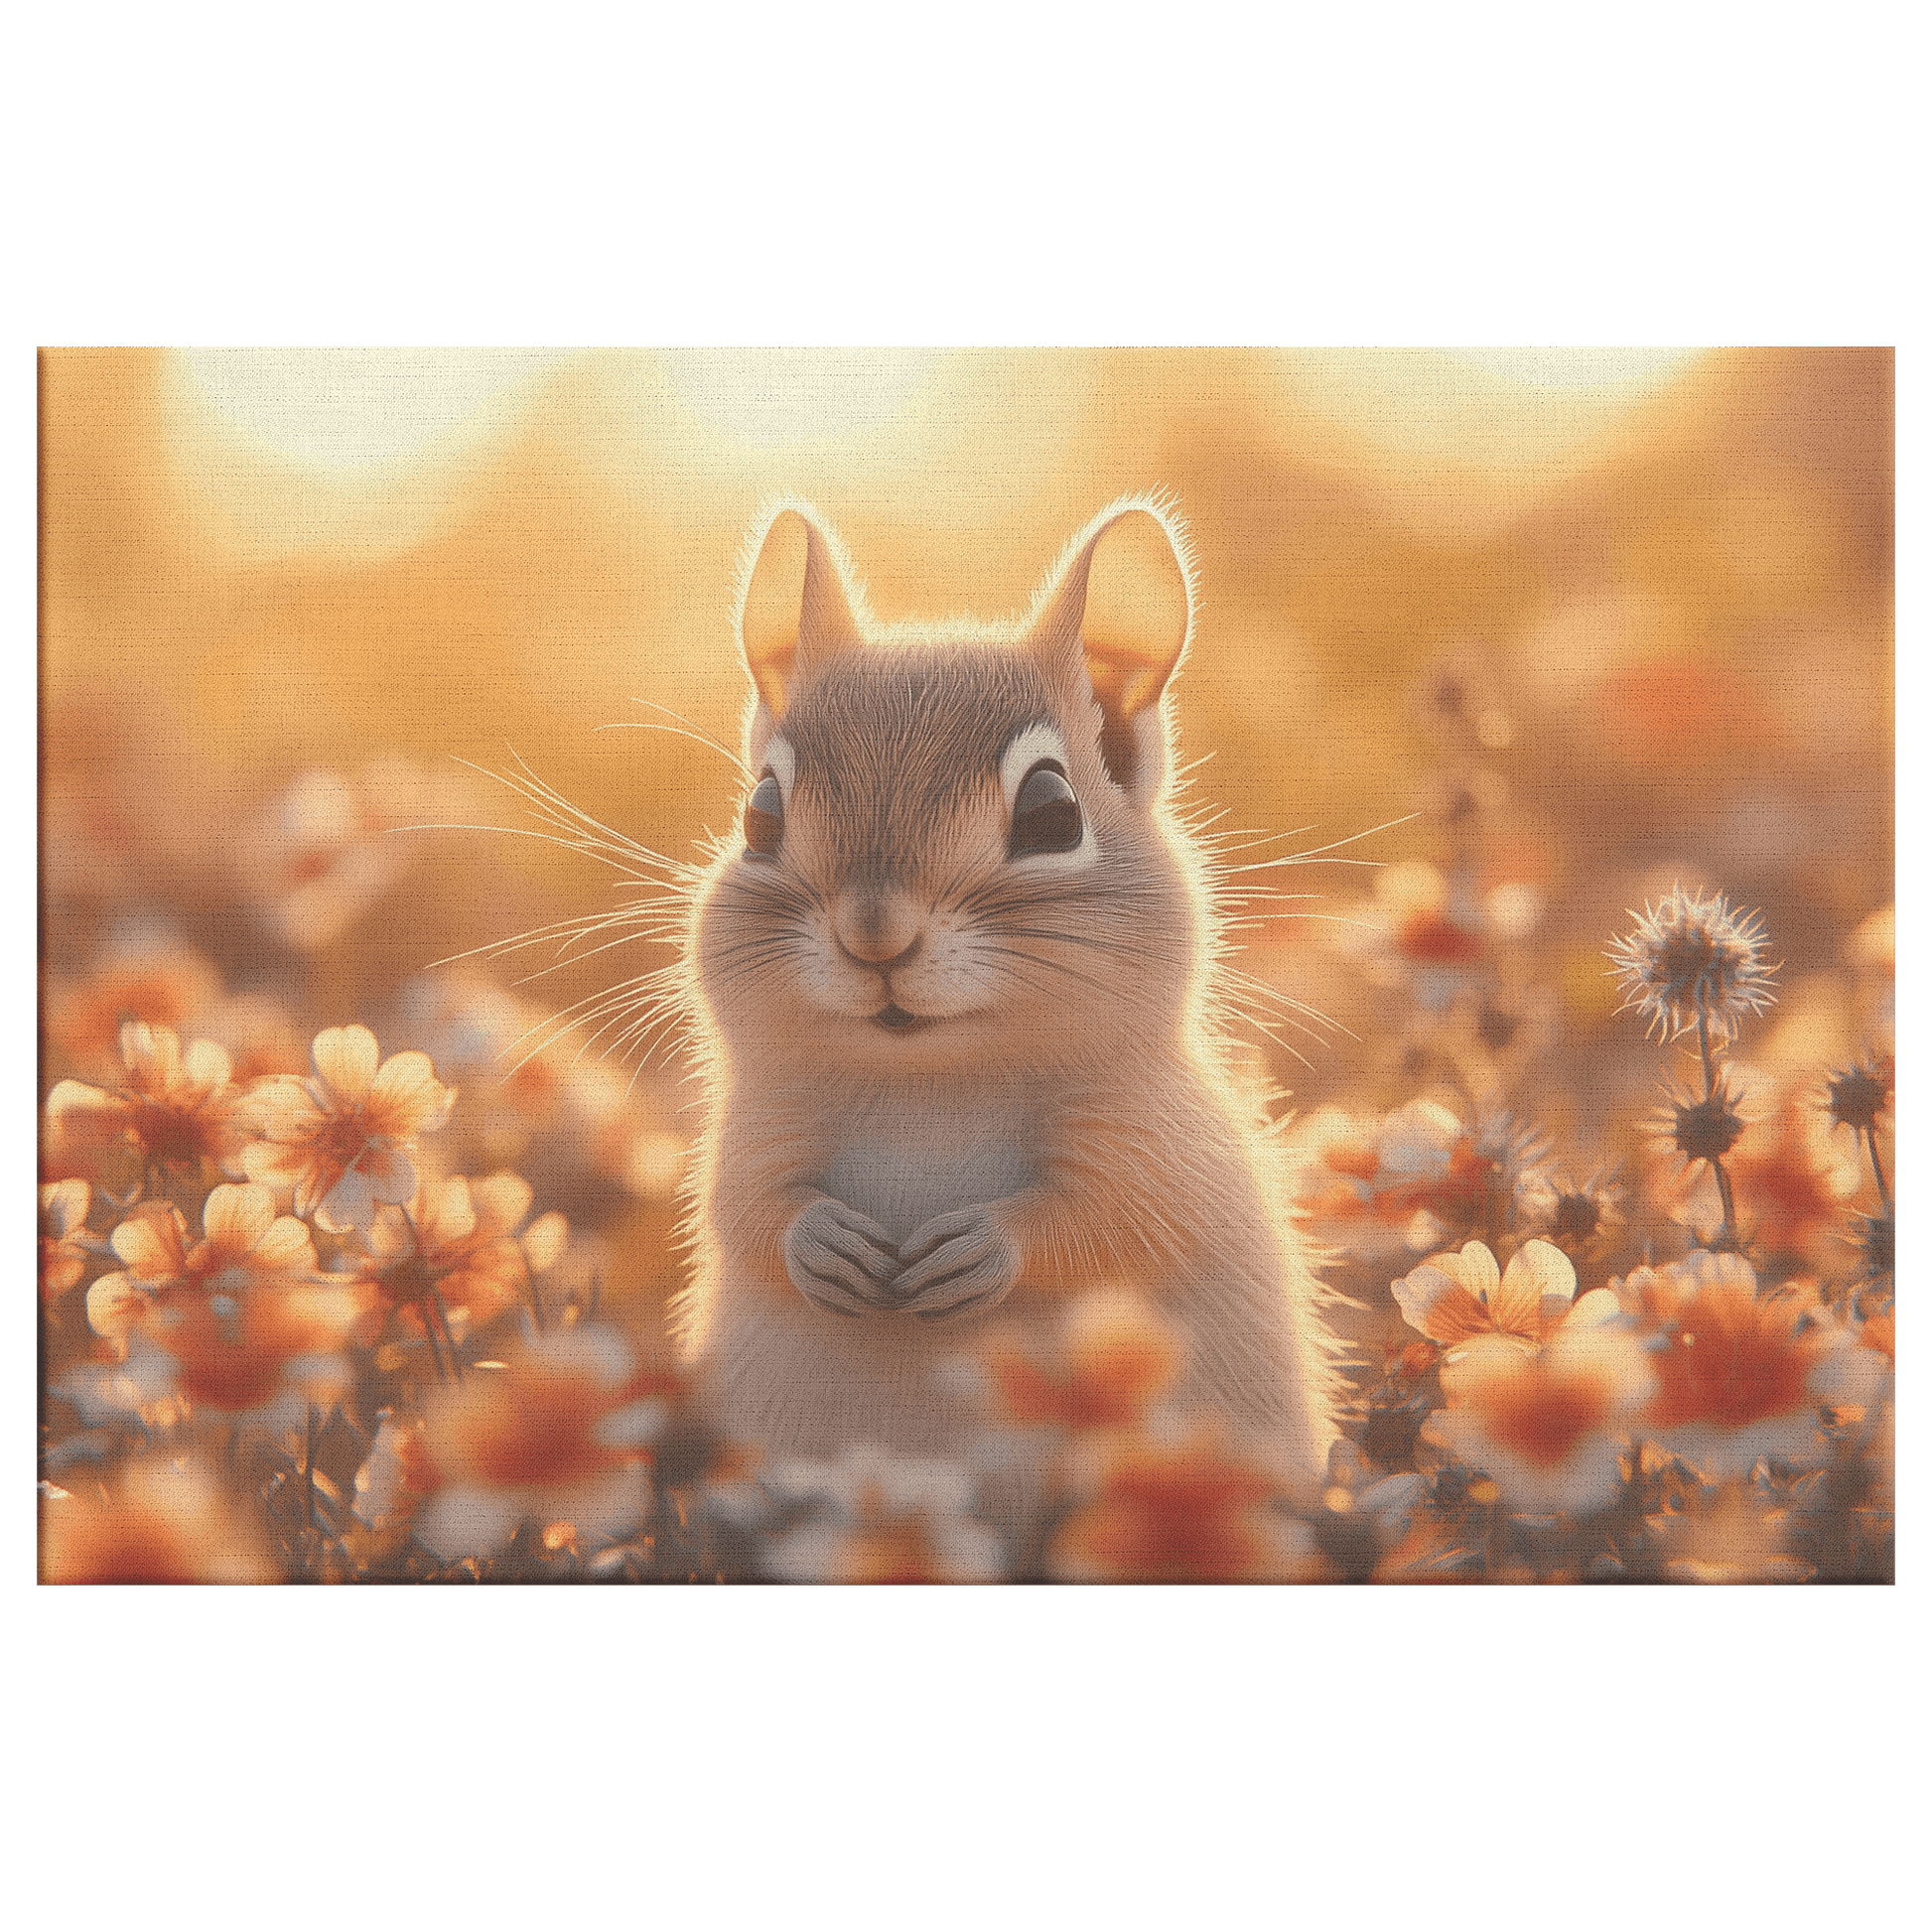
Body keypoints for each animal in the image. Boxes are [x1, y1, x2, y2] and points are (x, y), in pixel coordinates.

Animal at [666, 495, 1344, 1487]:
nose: (875, 934)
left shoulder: (1155, 1149)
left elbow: (1108, 1222)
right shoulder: (755, 1130)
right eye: (761, 814)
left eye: (1053, 813)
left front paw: (984, 1248)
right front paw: (821, 1244)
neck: (931, 1086)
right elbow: (746, 1209)